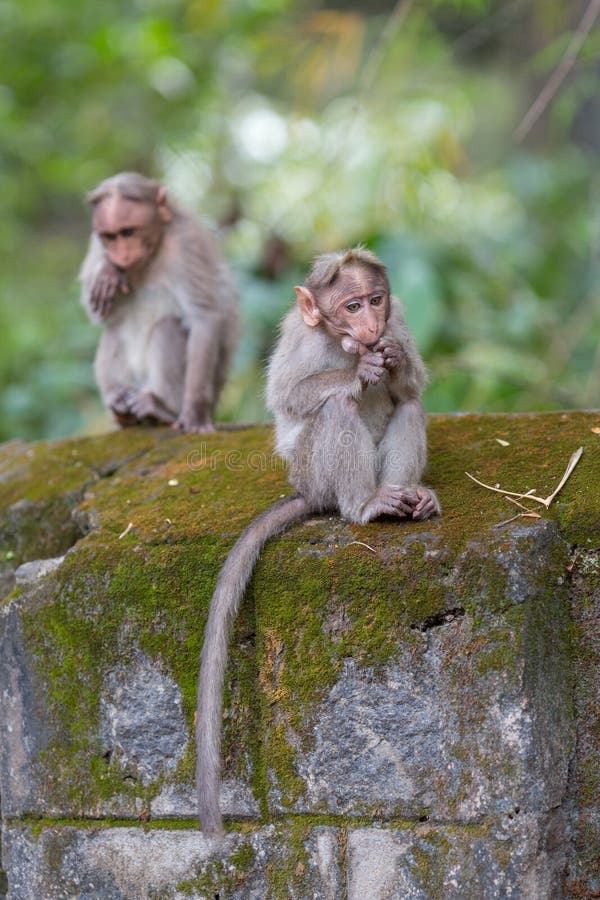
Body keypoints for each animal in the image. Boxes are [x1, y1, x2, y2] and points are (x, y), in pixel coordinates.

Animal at [79, 172, 238, 433]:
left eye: (128, 232)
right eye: (110, 236)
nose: (121, 255)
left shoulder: (187, 242)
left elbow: (204, 317)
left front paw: (194, 414)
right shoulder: (96, 242)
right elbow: (97, 313)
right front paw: (108, 271)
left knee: (168, 327)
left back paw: (161, 409)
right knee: (114, 329)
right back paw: (120, 408)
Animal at [196, 247, 440, 836]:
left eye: (376, 300)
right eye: (350, 306)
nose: (370, 325)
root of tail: (309, 490)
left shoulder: (399, 320)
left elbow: (411, 386)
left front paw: (390, 359)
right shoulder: (301, 340)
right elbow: (287, 393)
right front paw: (357, 370)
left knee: (408, 407)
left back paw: (406, 497)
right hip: (315, 471)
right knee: (335, 409)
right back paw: (363, 505)